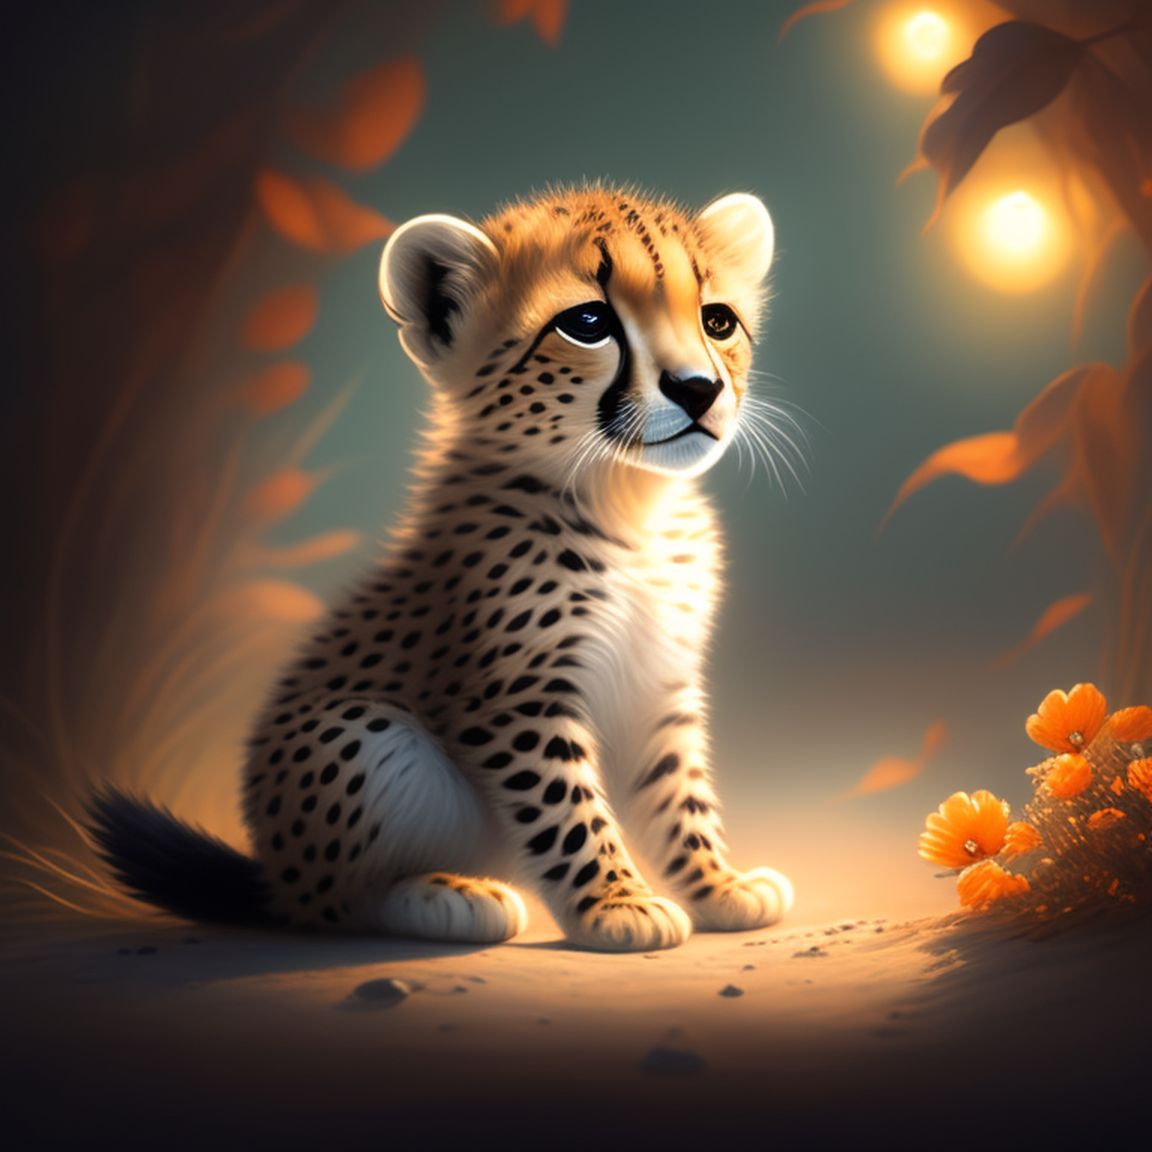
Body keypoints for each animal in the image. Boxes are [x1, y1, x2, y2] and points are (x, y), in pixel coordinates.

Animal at [90, 184, 794, 952]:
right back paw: (450, 896)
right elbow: (567, 807)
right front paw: (617, 903)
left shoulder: (658, 689)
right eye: (588, 323)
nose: (698, 389)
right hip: (357, 735)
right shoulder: (516, 696)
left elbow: (679, 798)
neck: (628, 501)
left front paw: (718, 886)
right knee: (332, 903)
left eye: (717, 320)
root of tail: (274, 873)